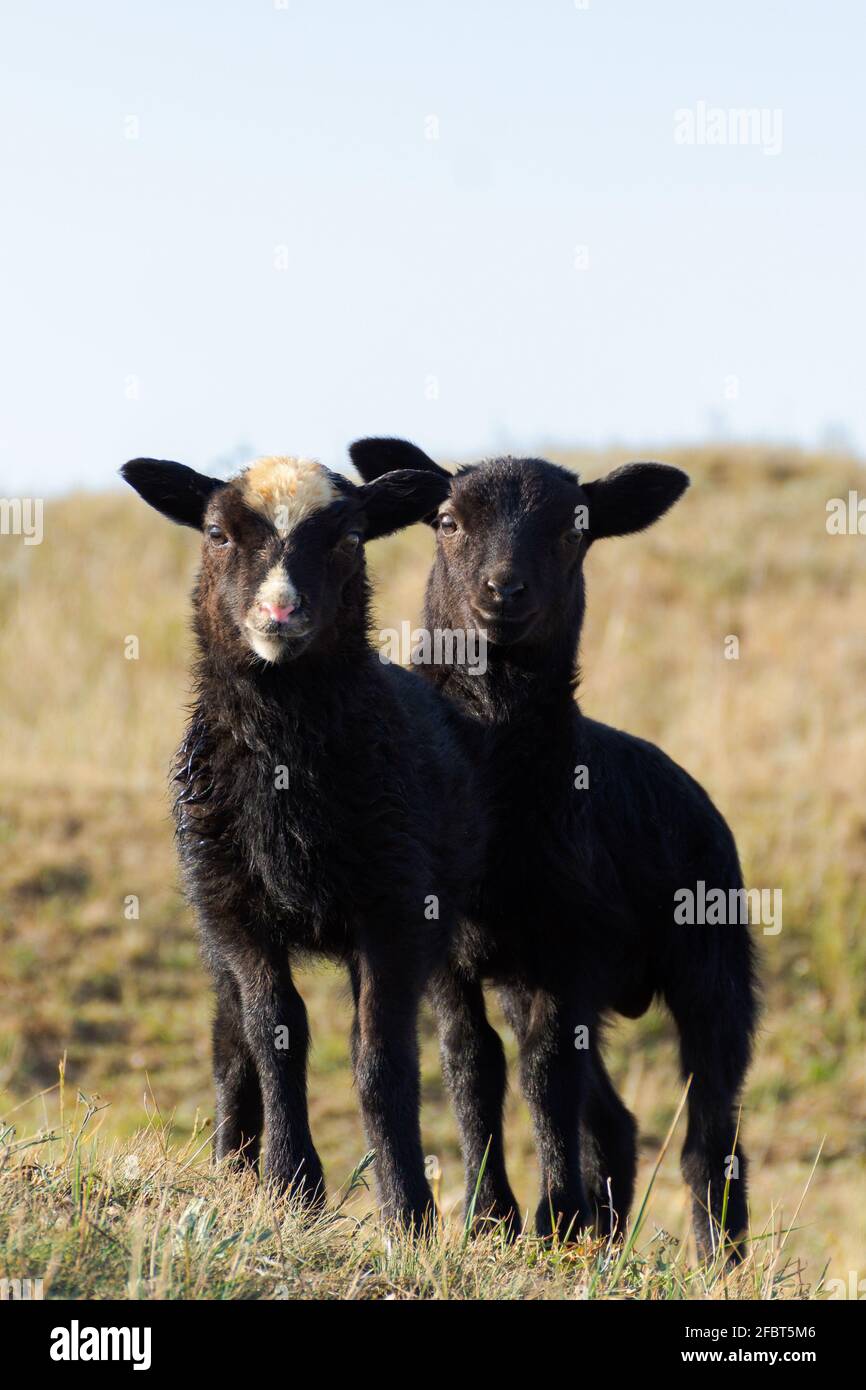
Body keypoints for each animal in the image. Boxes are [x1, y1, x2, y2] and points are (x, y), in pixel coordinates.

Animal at [120, 453, 482, 1229]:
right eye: (217, 534)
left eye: (349, 538)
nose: (281, 612)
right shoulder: (232, 909)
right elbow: (273, 1035)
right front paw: (292, 1186)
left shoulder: (396, 909)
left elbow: (380, 1055)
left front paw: (407, 1211)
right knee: (230, 1042)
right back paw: (231, 1167)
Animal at [349, 438, 758, 1259]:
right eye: (446, 520)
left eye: (576, 529)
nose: (503, 591)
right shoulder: (449, 952)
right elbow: (472, 1064)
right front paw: (492, 1219)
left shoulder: (568, 948)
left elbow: (543, 1075)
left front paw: (551, 1218)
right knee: (615, 1119)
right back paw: (605, 1240)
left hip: (713, 963)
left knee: (710, 1125)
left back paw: (715, 1255)